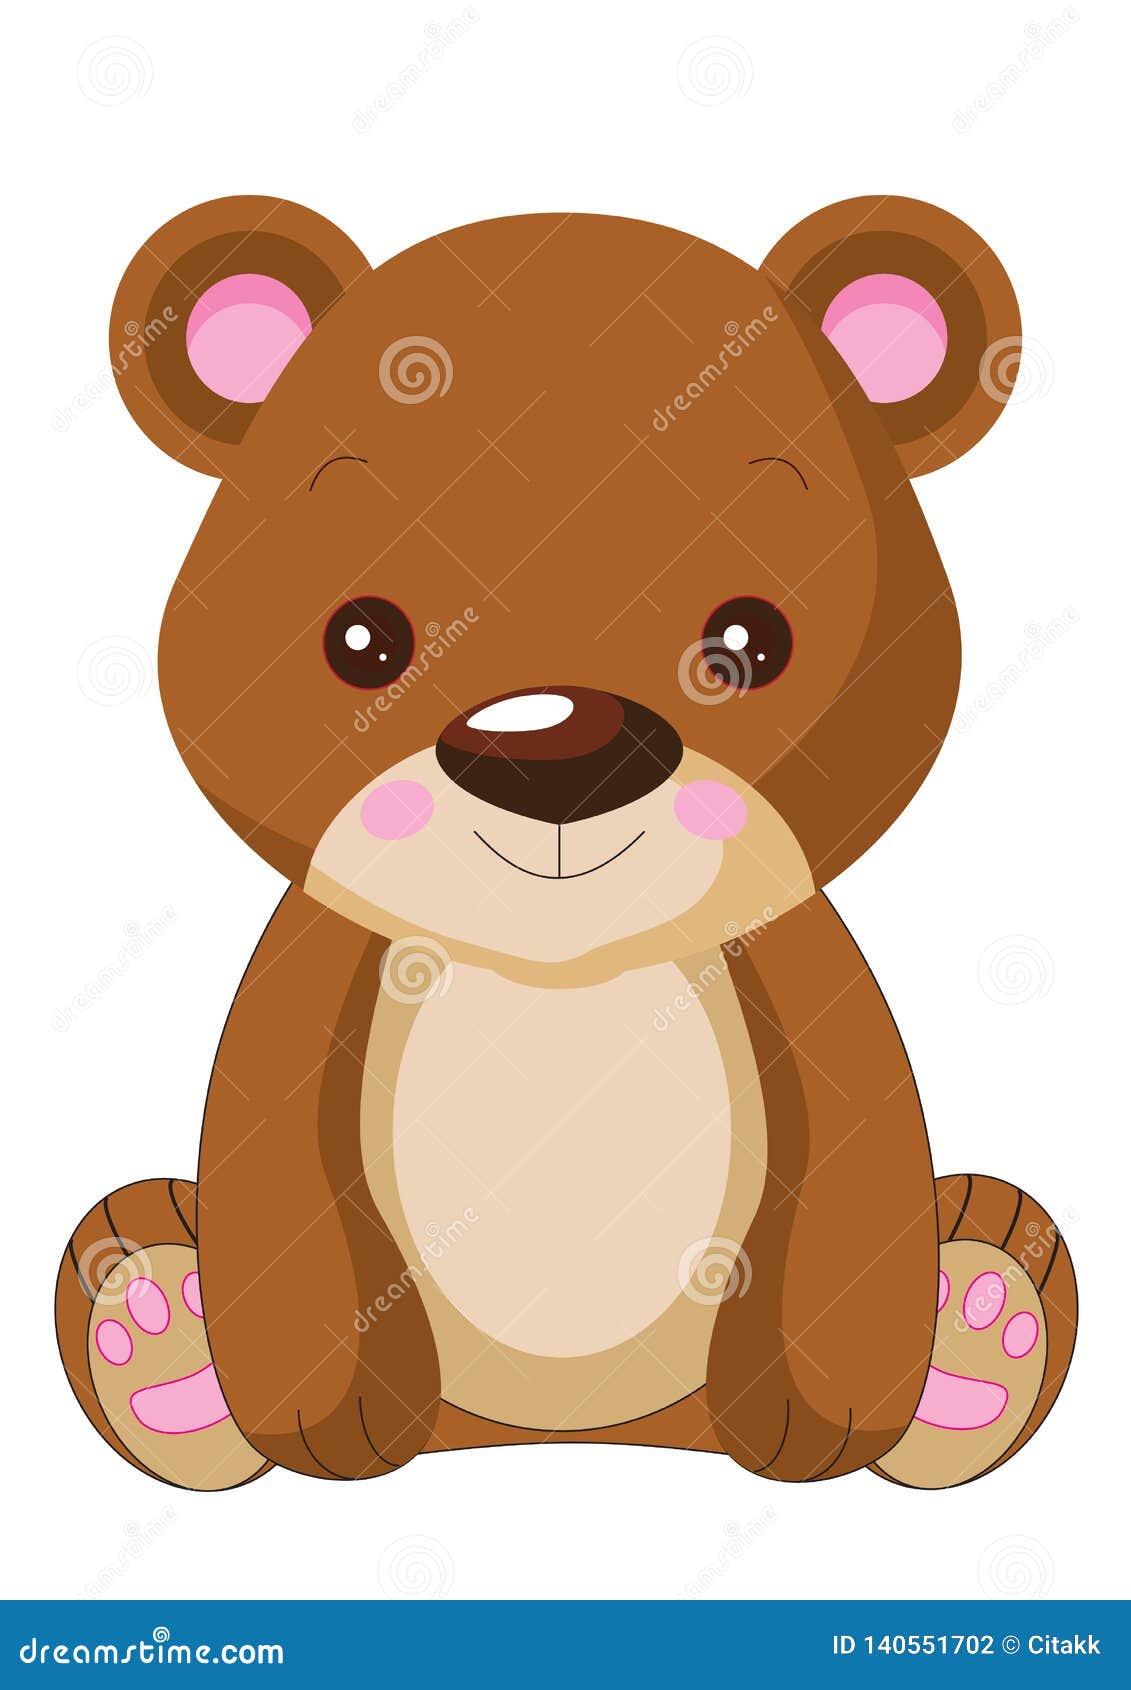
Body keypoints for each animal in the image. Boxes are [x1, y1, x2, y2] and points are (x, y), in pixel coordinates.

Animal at [56, 193, 1076, 1492]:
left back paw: (983, 1326)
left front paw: (827, 1411)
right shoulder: (312, 968)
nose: (556, 754)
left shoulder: (801, 964)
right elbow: (273, 1156)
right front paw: (324, 1410)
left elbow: (860, 1148)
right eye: (361, 640)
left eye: (748, 642)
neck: (558, 969)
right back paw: (158, 1338)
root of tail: (571, 1433)